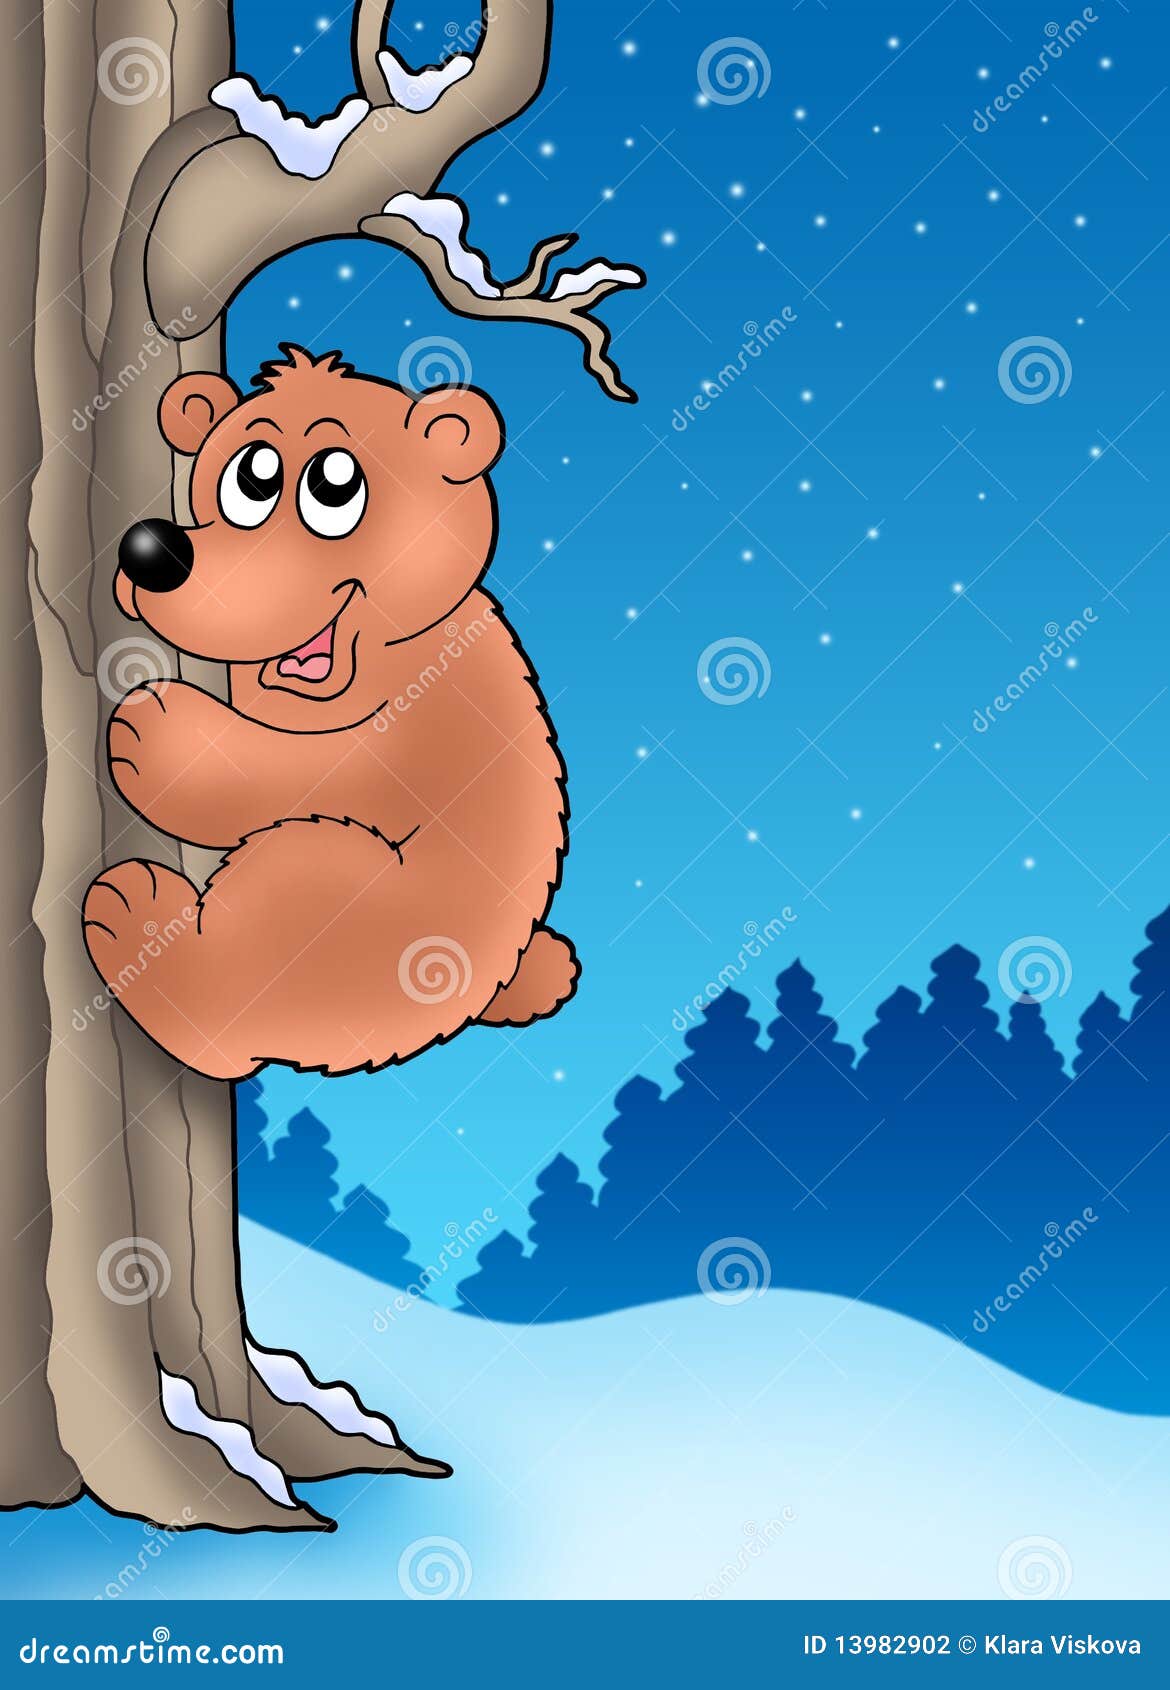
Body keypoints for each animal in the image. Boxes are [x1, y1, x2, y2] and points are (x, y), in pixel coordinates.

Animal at [83, 346, 578, 1080]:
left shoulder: (417, 726)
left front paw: (158, 732)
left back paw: (132, 919)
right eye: (248, 476)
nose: (152, 551)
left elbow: (308, 769)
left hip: (343, 899)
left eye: (333, 485)